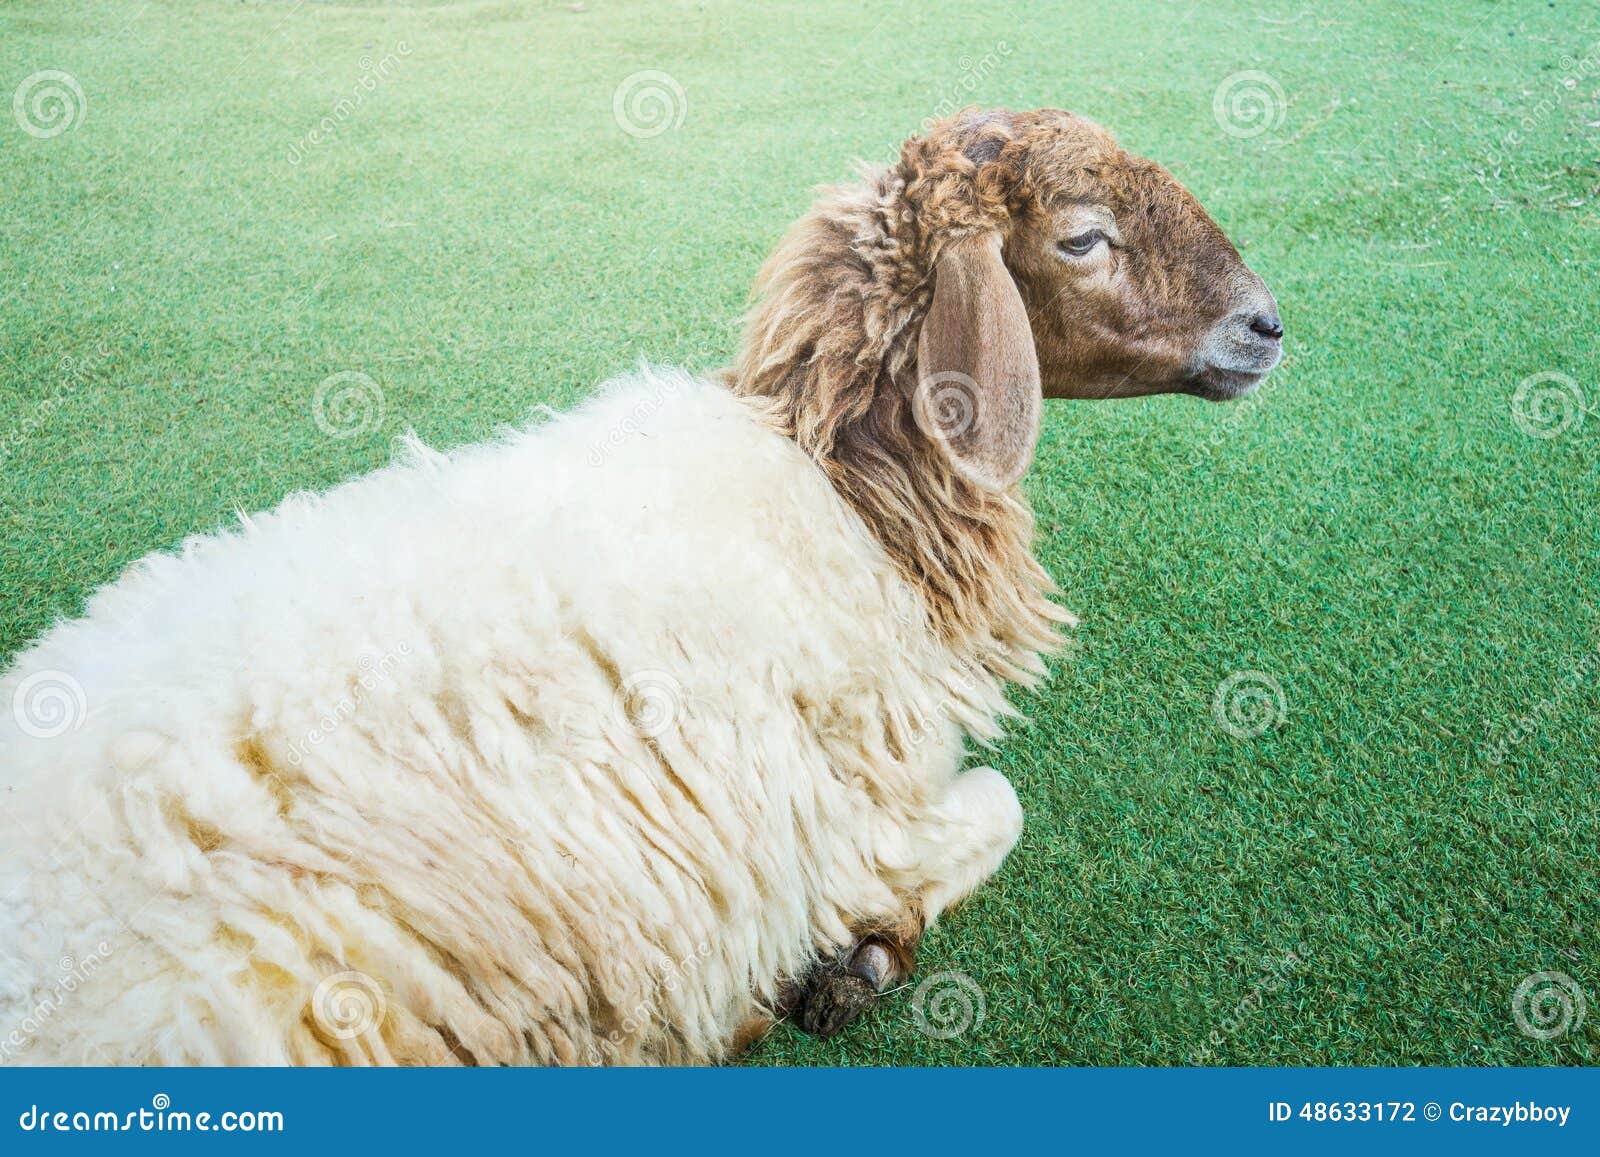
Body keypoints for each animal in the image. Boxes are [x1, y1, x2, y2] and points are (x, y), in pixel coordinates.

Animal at [0, 109, 1281, 1066]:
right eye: (1082, 238)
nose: (1268, 325)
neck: (844, 496)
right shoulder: (835, 831)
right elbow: (997, 808)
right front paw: (854, 964)